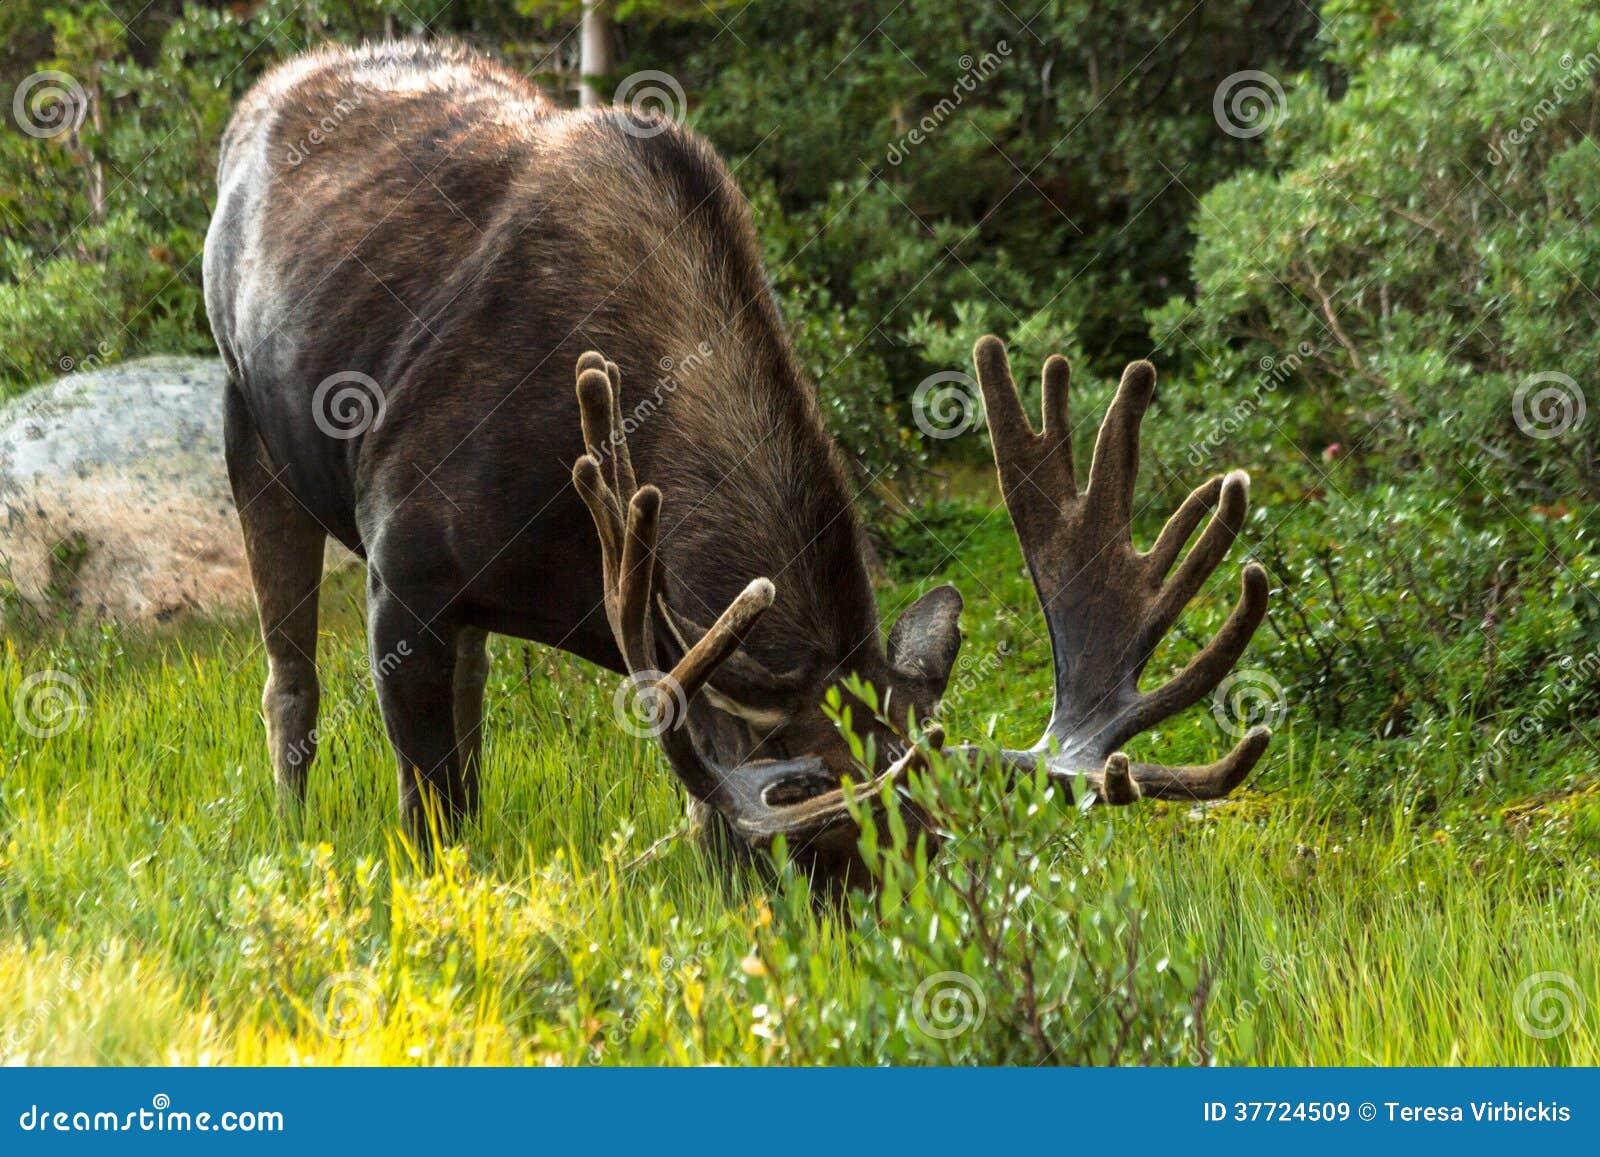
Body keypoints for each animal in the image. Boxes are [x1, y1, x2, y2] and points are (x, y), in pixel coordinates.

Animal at [204, 40, 1272, 884]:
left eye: (938, 847)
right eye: (816, 851)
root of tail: (274, 84)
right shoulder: (407, 570)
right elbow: (433, 813)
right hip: (244, 412)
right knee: (289, 681)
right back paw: (290, 827)